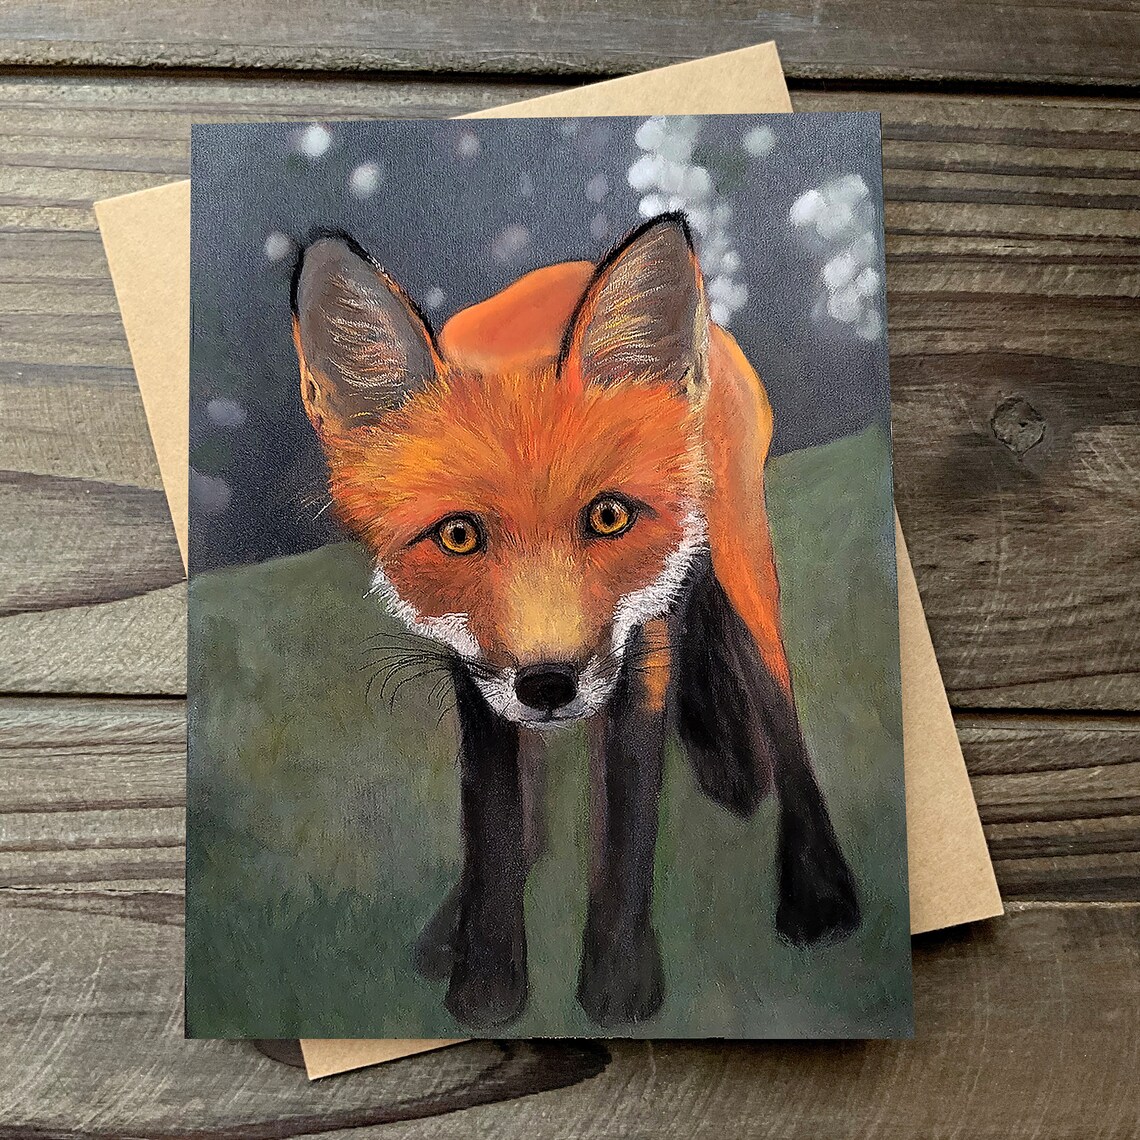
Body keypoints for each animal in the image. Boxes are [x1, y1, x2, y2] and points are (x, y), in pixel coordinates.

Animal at [290, 214, 860, 1030]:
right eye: (457, 535)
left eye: (609, 517)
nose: (549, 685)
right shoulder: (476, 670)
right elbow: (495, 823)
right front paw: (486, 988)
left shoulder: (639, 657)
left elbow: (626, 827)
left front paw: (617, 992)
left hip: (743, 558)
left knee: (779, 707)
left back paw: (820, 891)